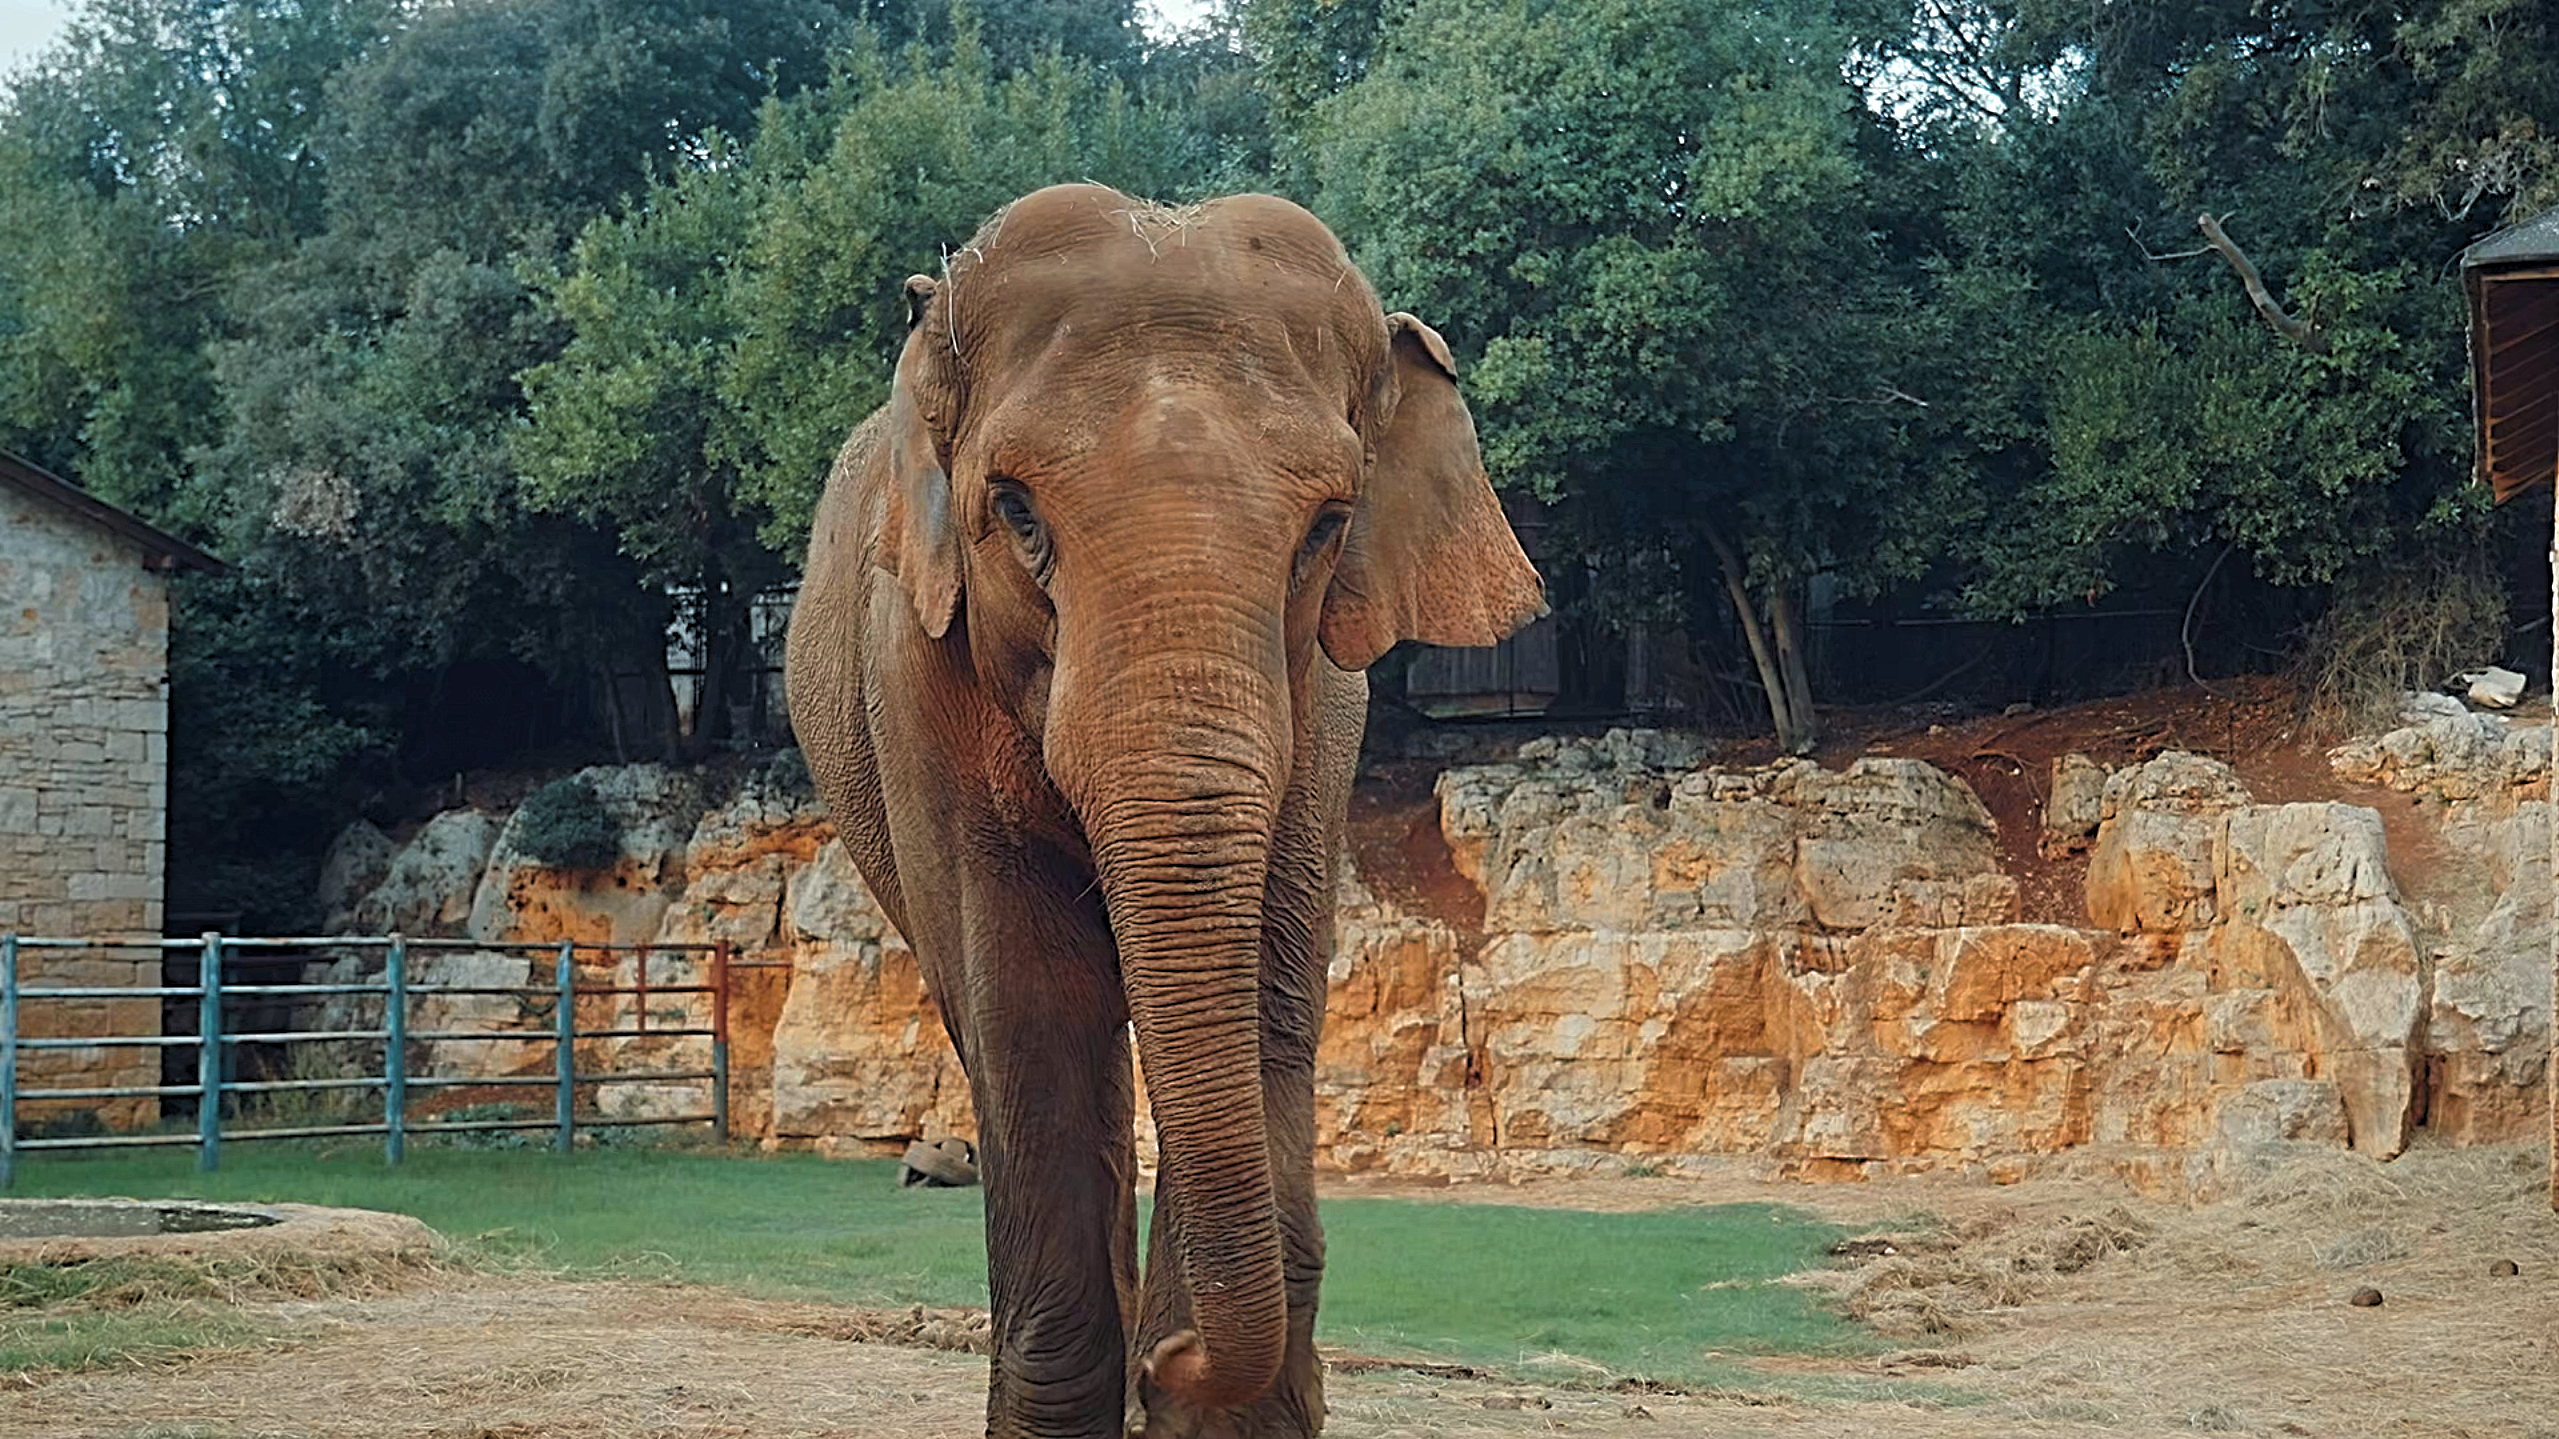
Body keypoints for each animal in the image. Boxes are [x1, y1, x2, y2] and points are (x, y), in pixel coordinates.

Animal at [783, 183, 1544, 1438]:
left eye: (1327, 523)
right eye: (1015, 509)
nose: (1171, 1355)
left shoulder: (1322, 698)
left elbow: (1272, 973)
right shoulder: (915, 676)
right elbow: (1034, 1002)